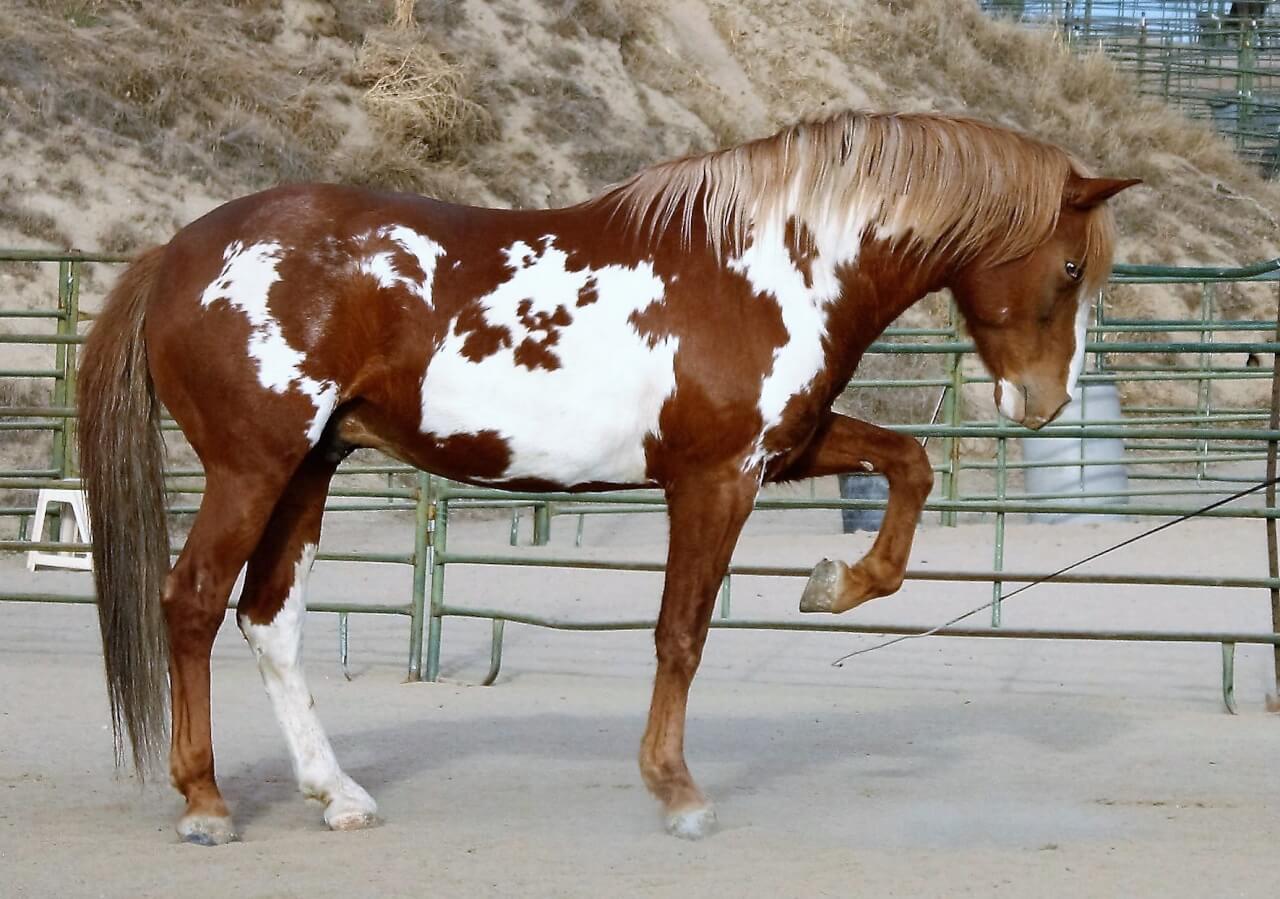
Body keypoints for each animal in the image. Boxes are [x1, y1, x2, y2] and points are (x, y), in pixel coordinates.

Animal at [77, 110, 1138, 844]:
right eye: (1070, 267)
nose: (1045, 402)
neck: (772, 266)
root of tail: (176, 253)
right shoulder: (718, 478)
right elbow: (681, 635)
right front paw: (678, 792)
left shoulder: (787, 451)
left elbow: (908, 464)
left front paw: (834, 585)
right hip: (251, 468)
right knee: (192, 600)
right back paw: (206, 802)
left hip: (309, 465)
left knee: (271, 619)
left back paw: (336, 795)